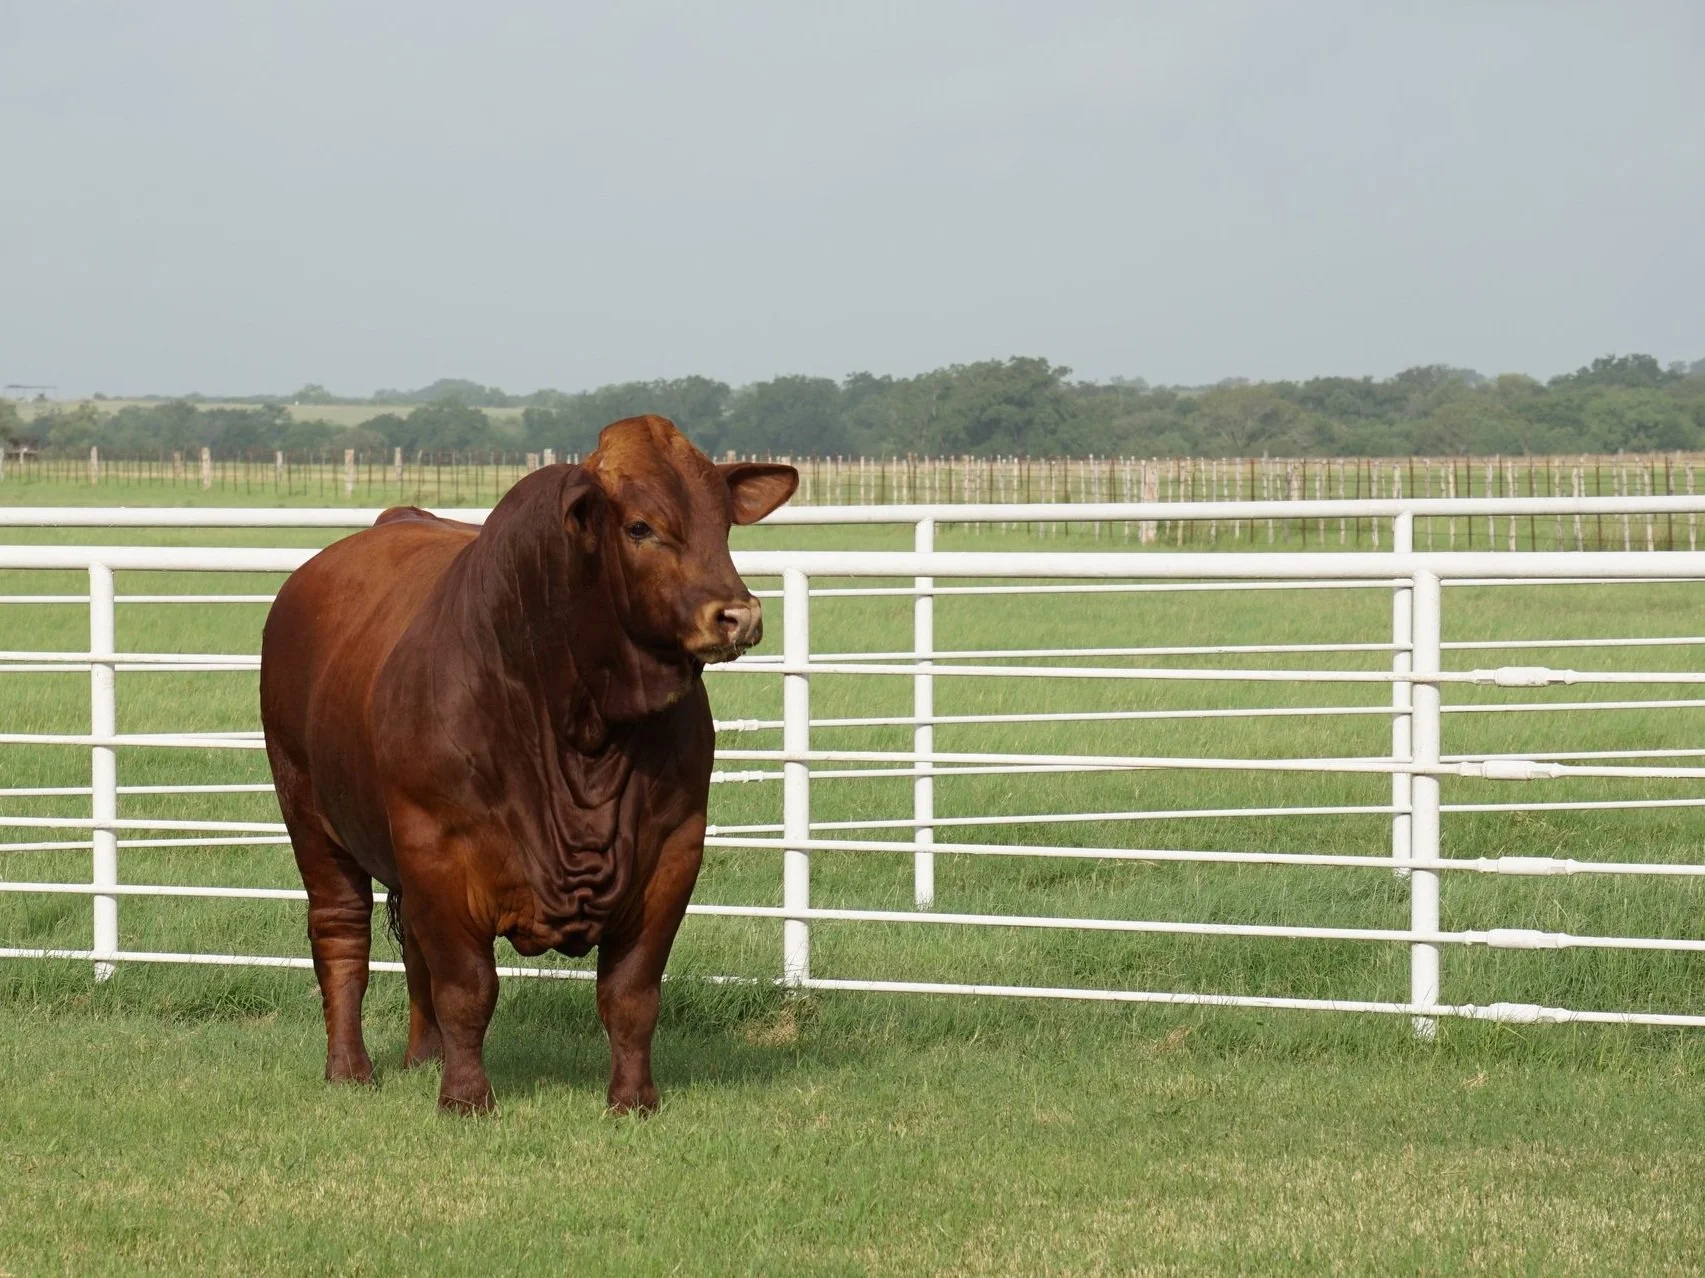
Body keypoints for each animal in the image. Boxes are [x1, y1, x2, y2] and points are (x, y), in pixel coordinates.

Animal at [258, 416, 797, 1113]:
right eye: (639, 527)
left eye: (724, 523)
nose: (738, 614)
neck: (582, 729)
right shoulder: (436, 846)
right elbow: (468, 987)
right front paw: (465, 1099)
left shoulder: (675, 849)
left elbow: (632, 994)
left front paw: (633, 1100)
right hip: (308, 813)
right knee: (341, 932)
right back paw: (350, 1068)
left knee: (414, 955)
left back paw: (423, 1058)